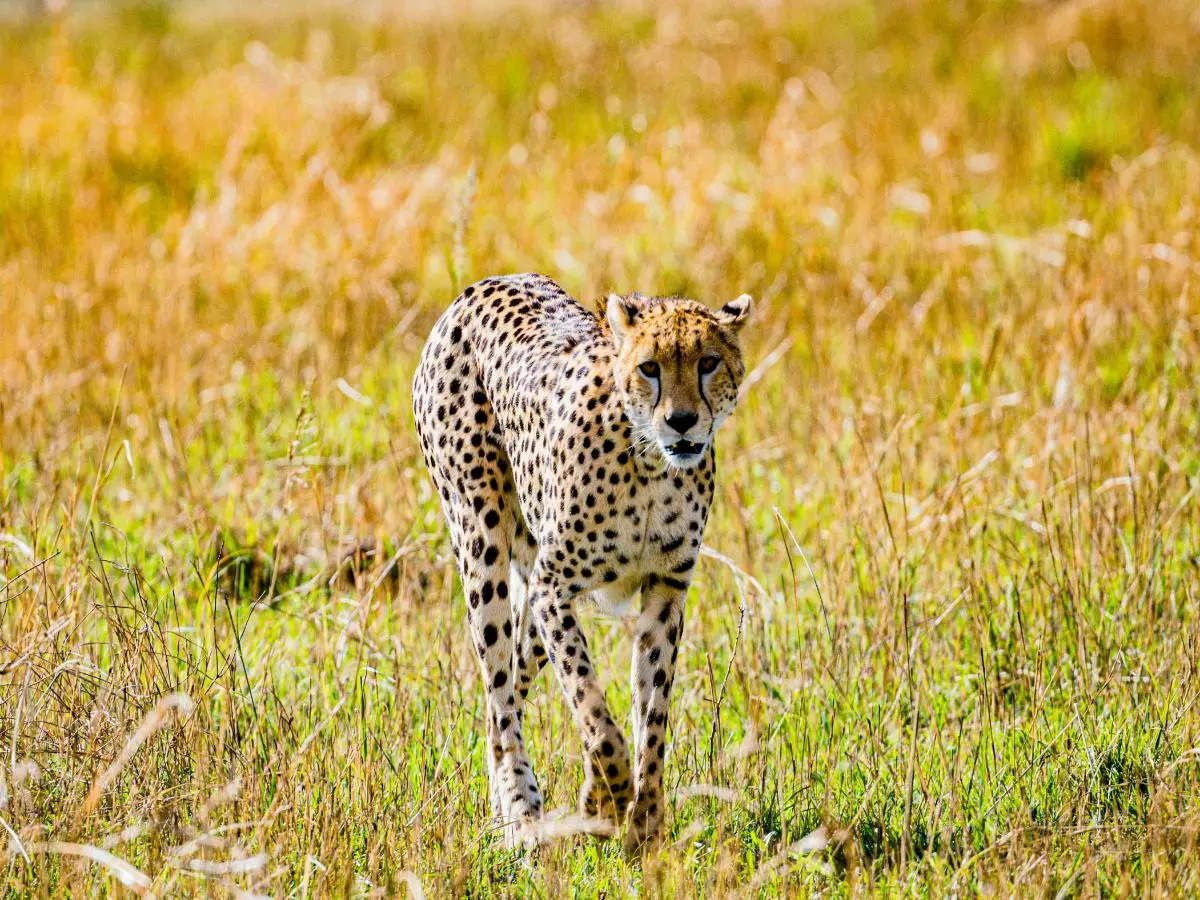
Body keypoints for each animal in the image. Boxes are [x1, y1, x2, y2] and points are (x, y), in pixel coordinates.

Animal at [411, 272, 751, 852]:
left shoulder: (664, 592)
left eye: (708, 362)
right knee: (500, 698)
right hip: (481, 545)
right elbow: (594, 708)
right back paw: (521, 817)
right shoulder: (555, 588)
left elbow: (650, 717)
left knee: (507, 690)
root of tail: (486, 283)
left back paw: (509, 810)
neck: (651, 463)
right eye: (650, 368)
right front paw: (606, 803)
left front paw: (645, 826)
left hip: (528, 584)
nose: (682, 422)